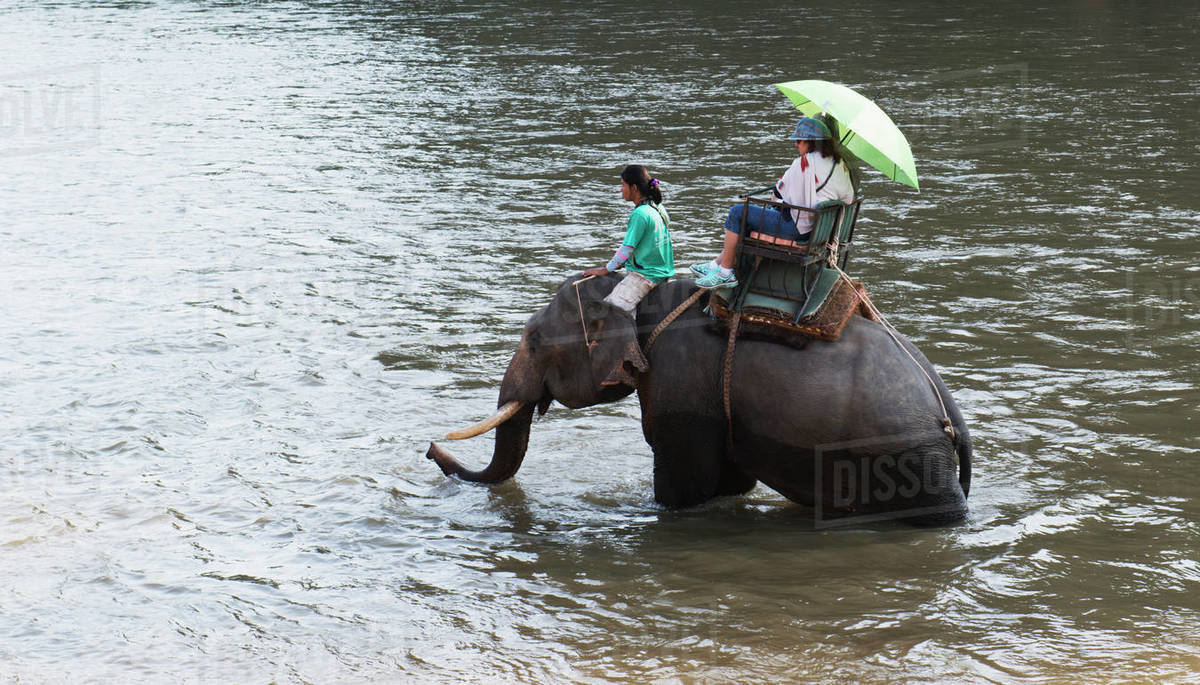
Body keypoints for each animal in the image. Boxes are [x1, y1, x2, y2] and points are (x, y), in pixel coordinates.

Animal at [427, 272, 972, 526]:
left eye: (535, 340)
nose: (431, 449)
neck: (647, 301)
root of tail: (948, 411)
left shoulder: (683, 396)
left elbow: (683, 488)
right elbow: (728, 484)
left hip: (908, 460)